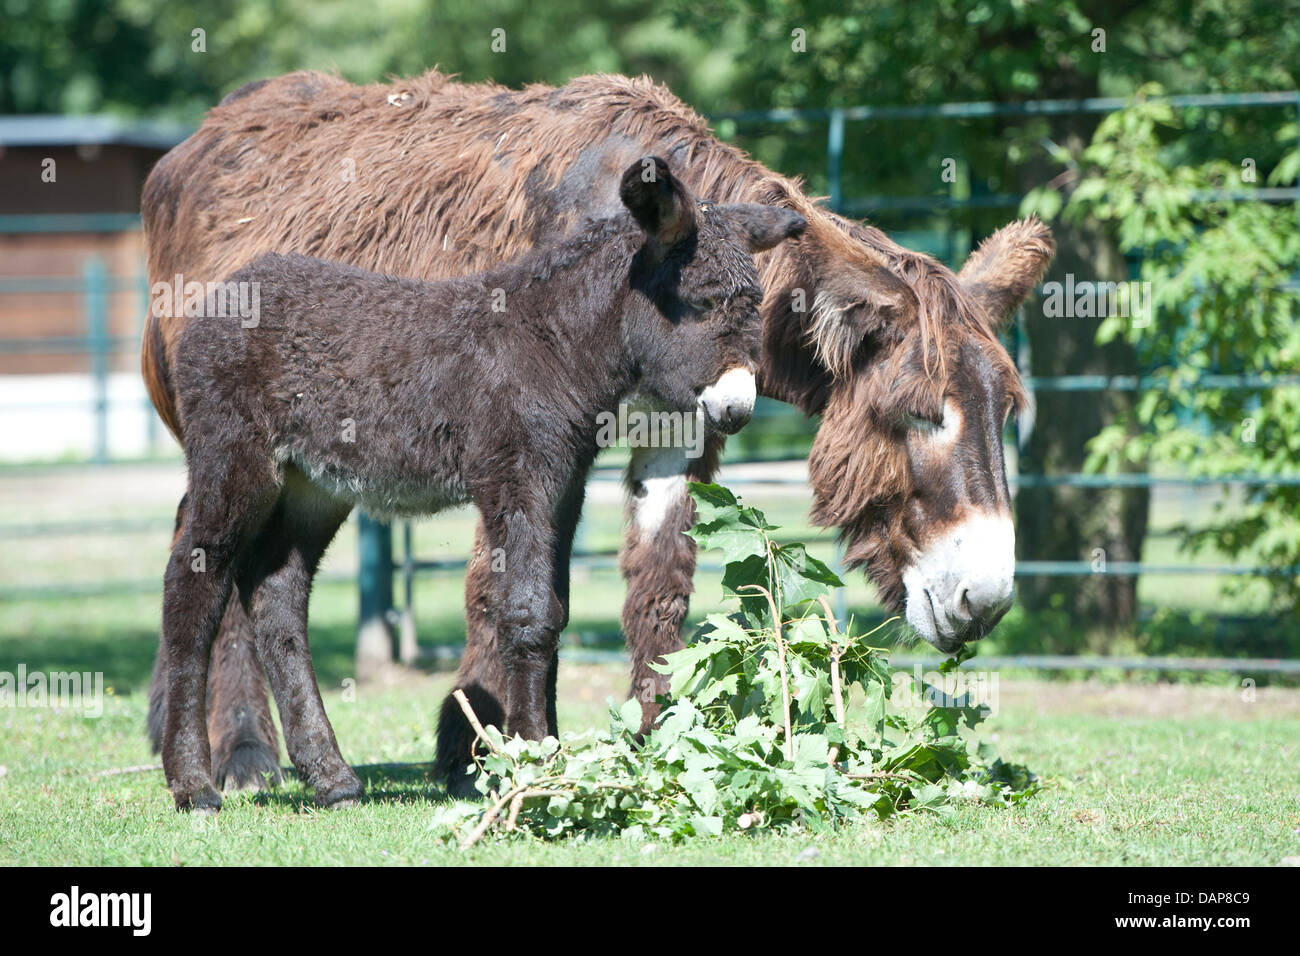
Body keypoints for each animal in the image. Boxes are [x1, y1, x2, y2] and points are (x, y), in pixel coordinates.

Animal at [139, 70, 1054, 796]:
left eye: (1009, 416)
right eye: (923, 415)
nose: (986, 602)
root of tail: (205, 134)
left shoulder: (676, 428)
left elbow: (659, 584)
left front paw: (658, 745)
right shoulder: (526, 444)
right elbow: (499, 589)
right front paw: (482, 748)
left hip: (310, 469)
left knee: (255, 572)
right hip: (236, 441)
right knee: (206, 559)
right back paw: (239, 756)